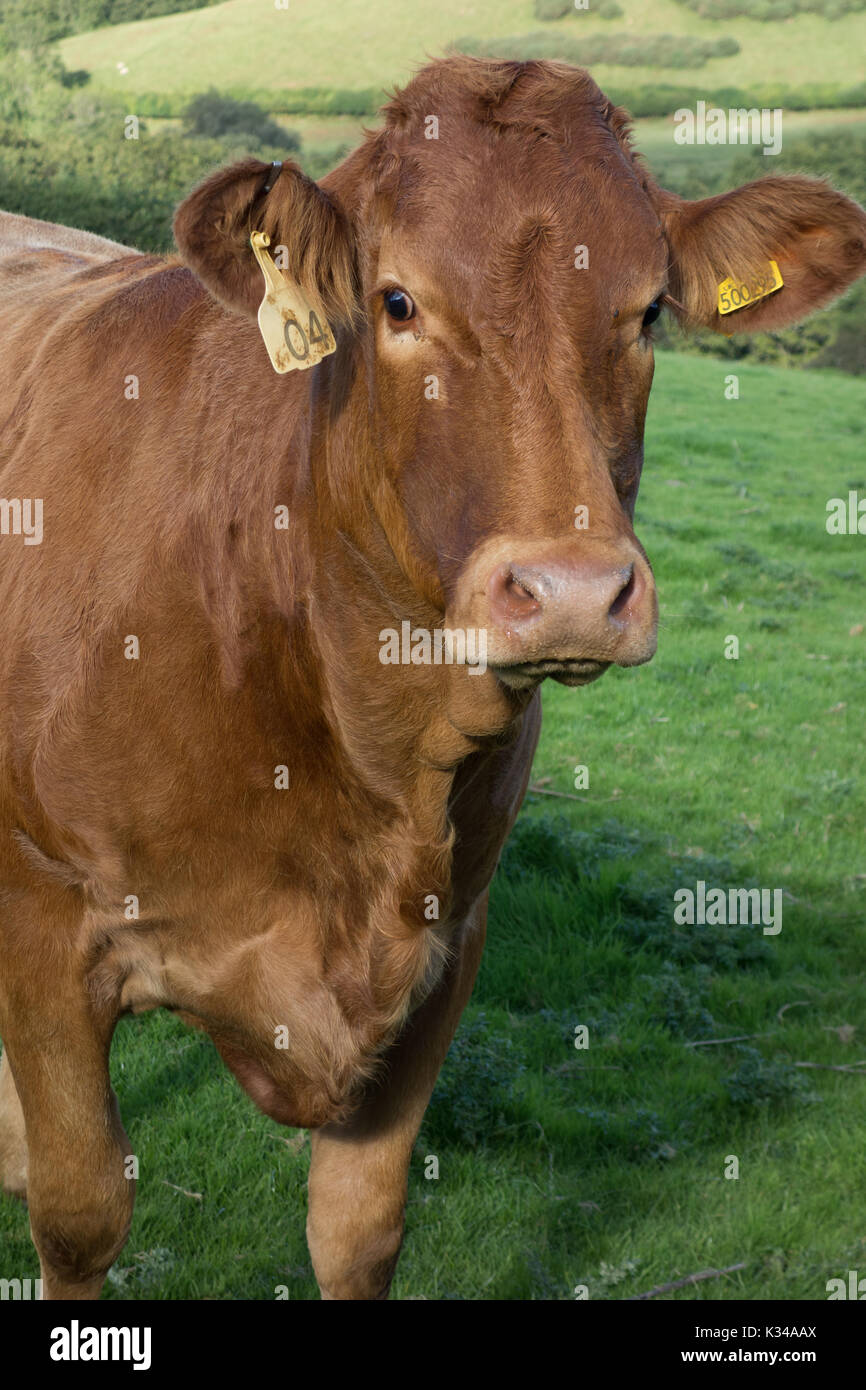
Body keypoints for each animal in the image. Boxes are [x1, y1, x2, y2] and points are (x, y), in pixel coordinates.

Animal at [0, 55, 863, 1301]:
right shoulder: (45, 925)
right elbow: (78, 1212)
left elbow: (357, 1226)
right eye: (397, 302)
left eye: (649, 310)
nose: (570, 589)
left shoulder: (444, 946)